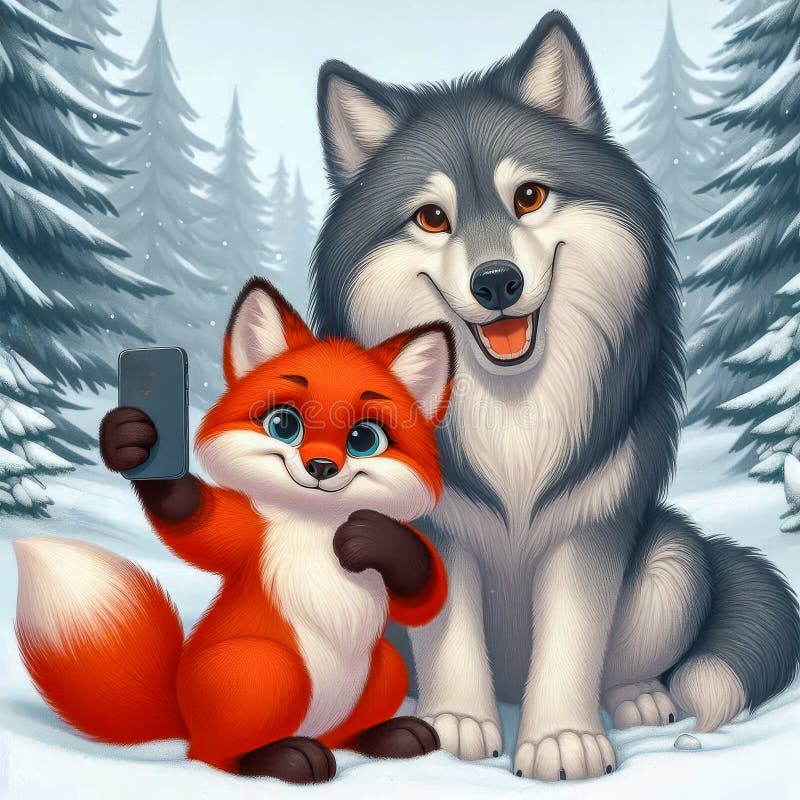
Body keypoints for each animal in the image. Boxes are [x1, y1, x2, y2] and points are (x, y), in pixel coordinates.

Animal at [13, 278, 455, 784]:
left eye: (364, 439)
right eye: (283, 424)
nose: (321, 467)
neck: (314, 525)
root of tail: (182, 712)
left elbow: (425, 593)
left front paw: (372, 539)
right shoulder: (248, 534)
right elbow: (197, 526)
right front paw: (136, 446)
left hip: (383, 668)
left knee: (344, 734)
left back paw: (391, 735)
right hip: (262, 668)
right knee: (216, 756)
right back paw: (286, 757)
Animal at [309, 10, 800, 781]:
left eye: (530, 197)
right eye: (431, 218)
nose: (497, 282)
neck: (514, 411)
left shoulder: (587, 528)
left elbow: (573, 640)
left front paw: (562, 741)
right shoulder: (436, 530)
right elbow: (447, 631)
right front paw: (454, 726)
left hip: (672, 562)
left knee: (630, 661)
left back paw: (637, 700)